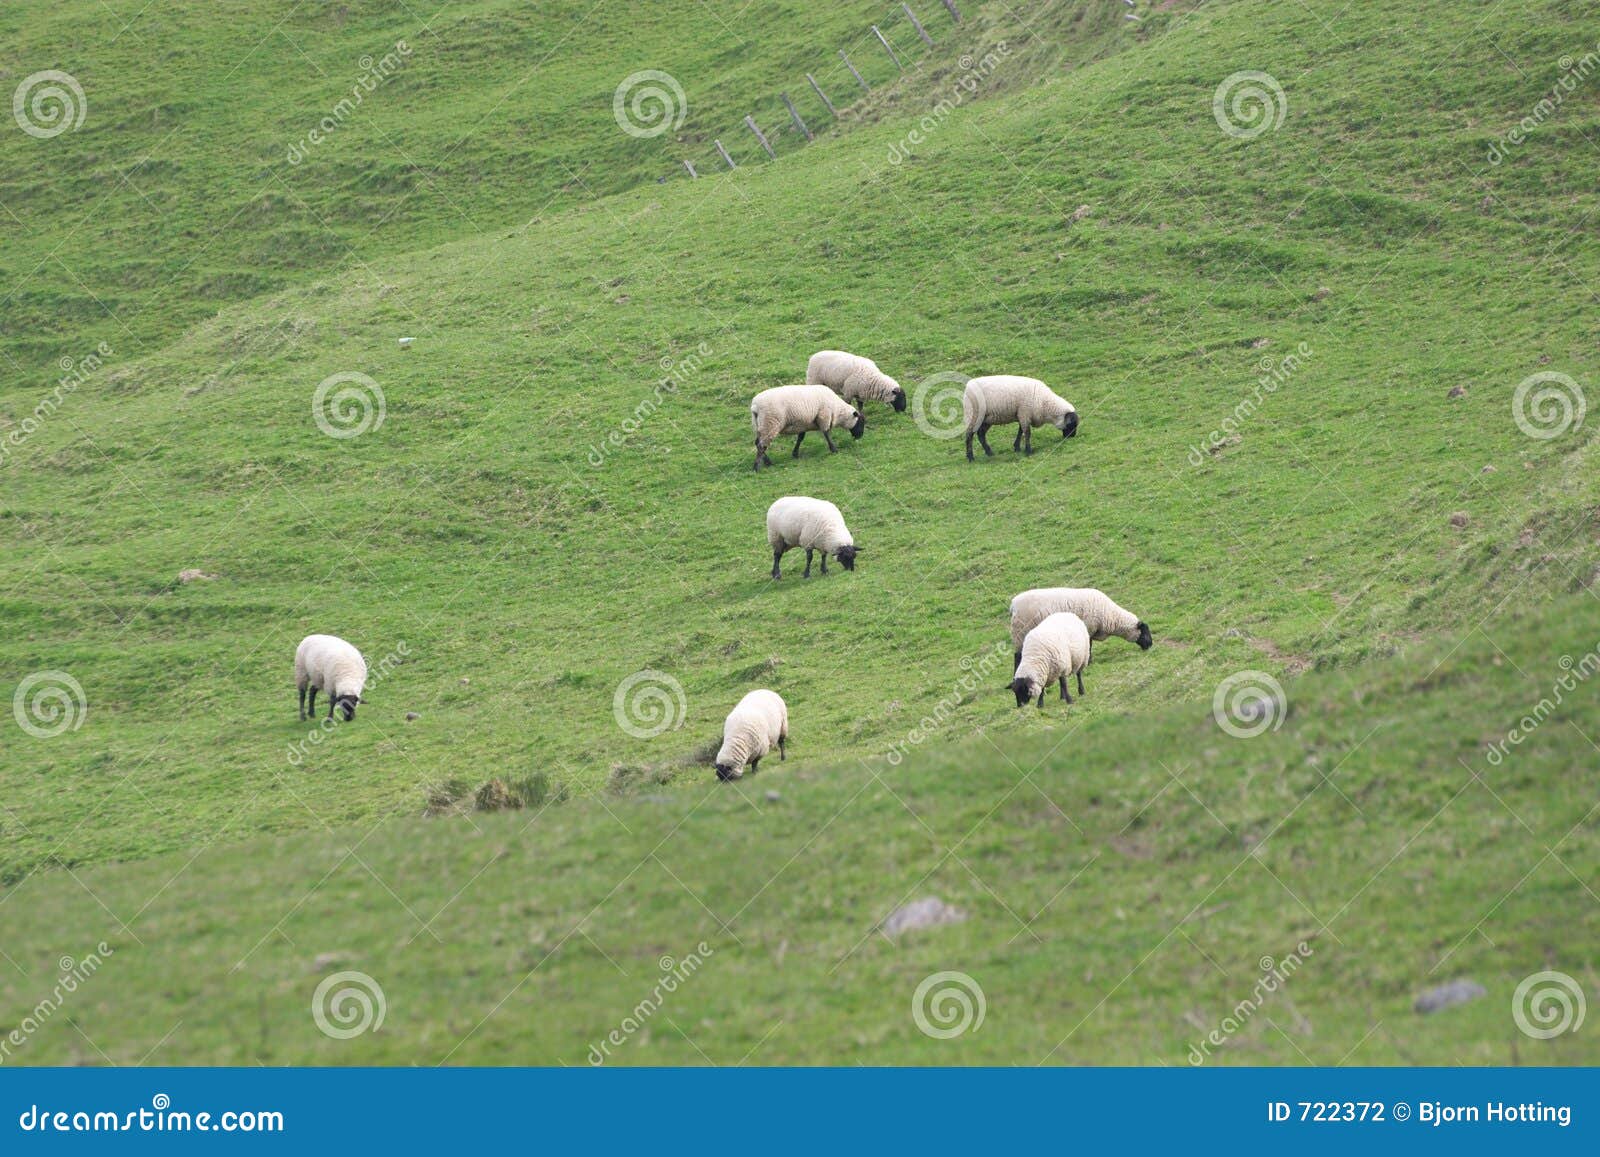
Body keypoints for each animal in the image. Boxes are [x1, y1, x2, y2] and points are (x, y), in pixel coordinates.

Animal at [1009, 587, 1152, 670]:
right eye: (1144, 633)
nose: (1150, 645)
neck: (1111, 616)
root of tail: (1013, 604)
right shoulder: (1089, 628)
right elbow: (1089, 645)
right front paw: (1089, 662)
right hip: (1020, 631)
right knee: (1017, 655)